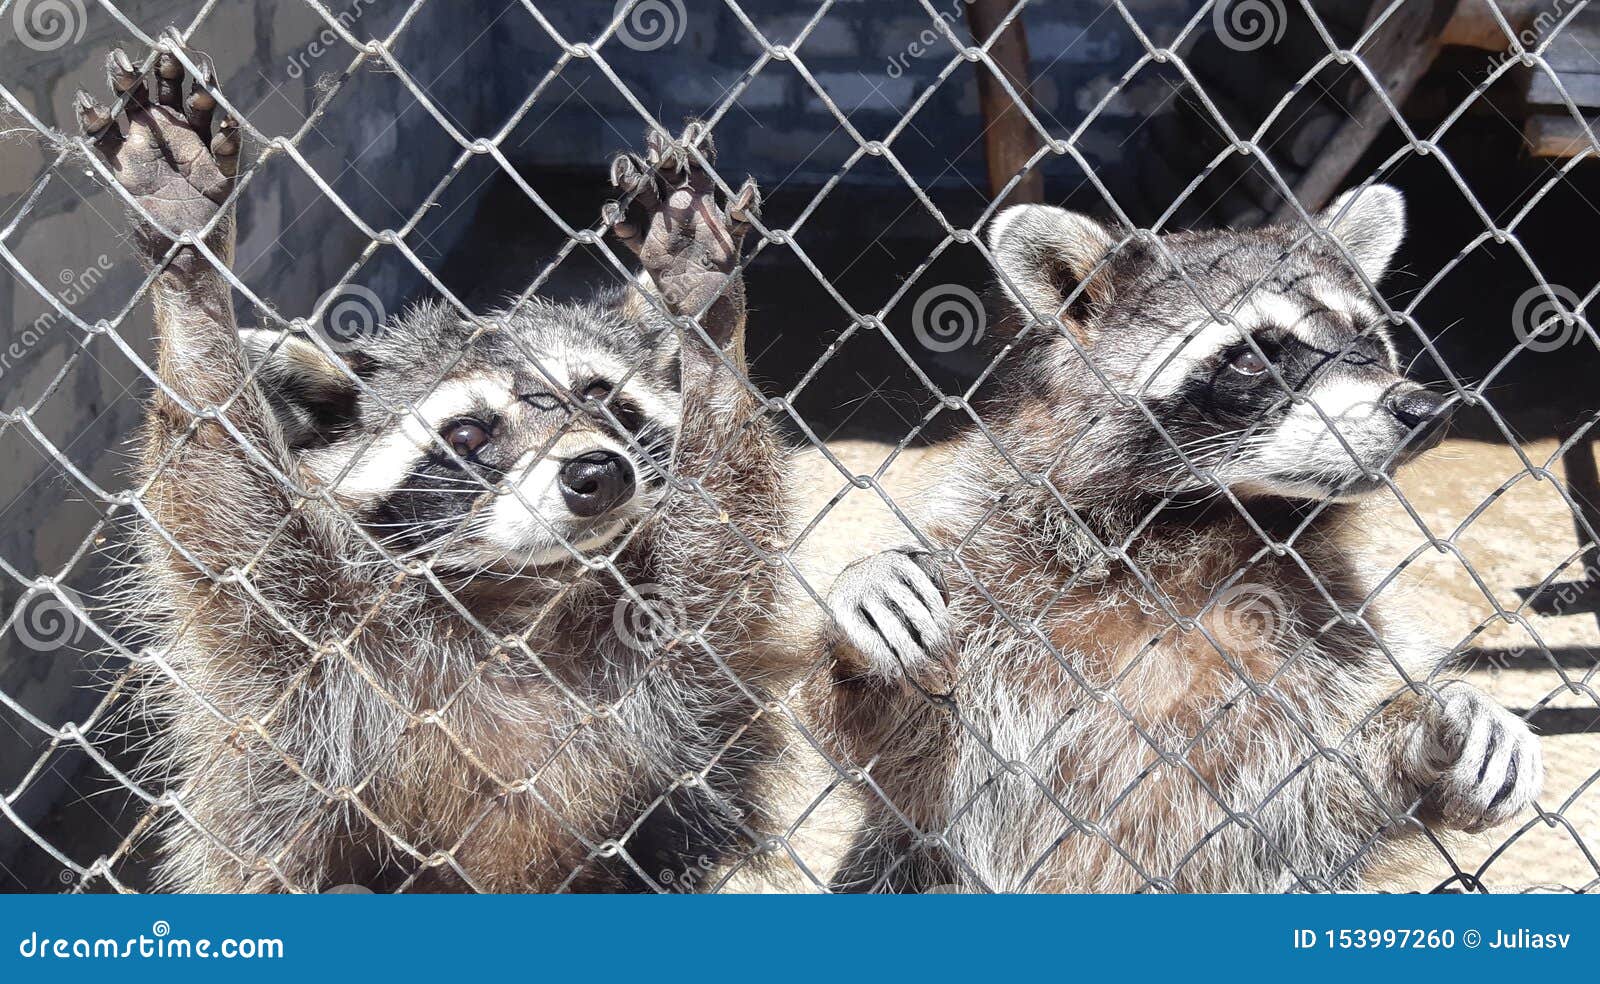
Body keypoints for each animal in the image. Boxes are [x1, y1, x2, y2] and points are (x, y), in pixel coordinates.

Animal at [78, 48, 834, 892]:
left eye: (598, 396)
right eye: (469, 432)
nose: (599, 475)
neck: (517, 599)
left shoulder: (680, 643)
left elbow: (722, 535)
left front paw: (704, 312)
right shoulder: (299, 650)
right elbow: (218, 499)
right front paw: (189, 270)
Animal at [817, 185, 1545, 892]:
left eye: (1367, 339)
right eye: (1254, 355)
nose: (1425, 411)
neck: (1204, 520)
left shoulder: (1324, 624)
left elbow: (1320, 797)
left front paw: (1433, 735)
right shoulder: (997, 557)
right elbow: (908, 763)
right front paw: (865, 599)